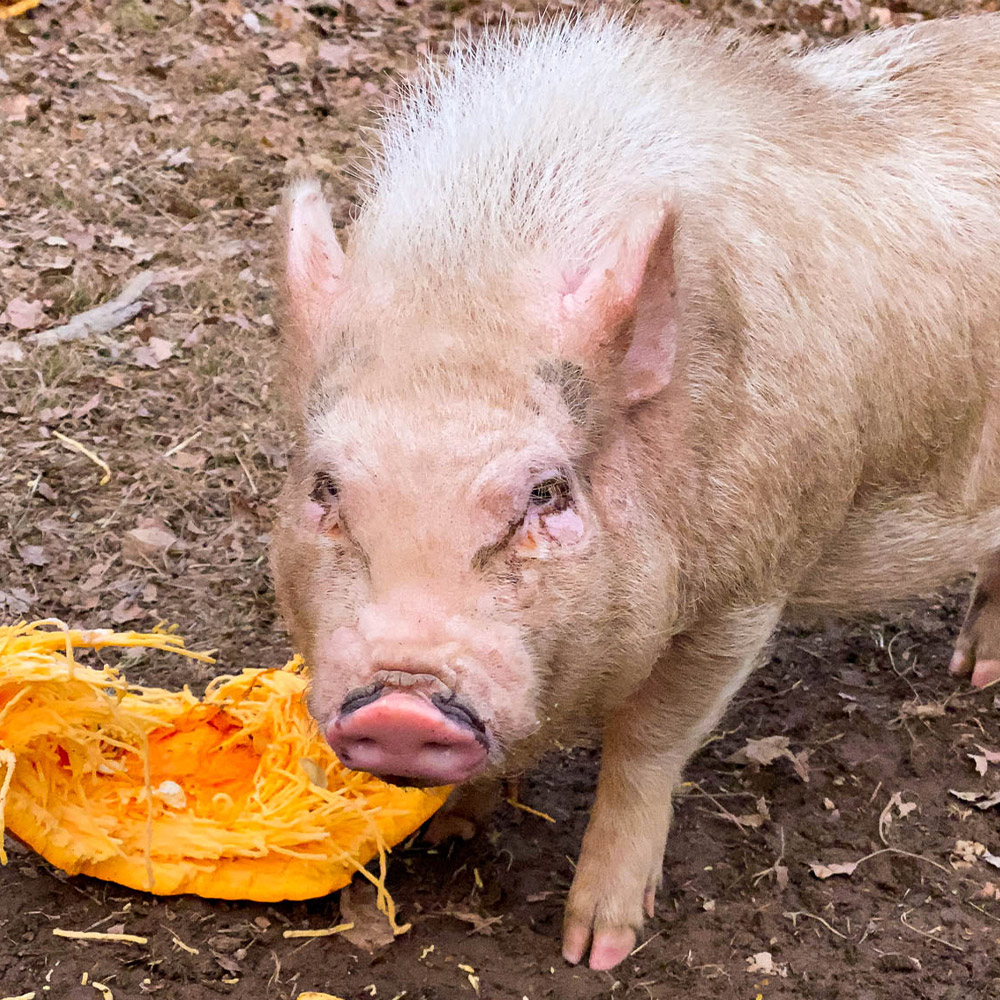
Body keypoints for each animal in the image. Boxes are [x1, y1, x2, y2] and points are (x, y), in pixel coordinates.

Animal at [271, 13, 1000, 971]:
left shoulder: (751, 586)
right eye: (326, 488)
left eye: (547, 493)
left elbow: (648, 742)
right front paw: (443, 836)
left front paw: (598, 949)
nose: (401, 702)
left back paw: (974, 678)